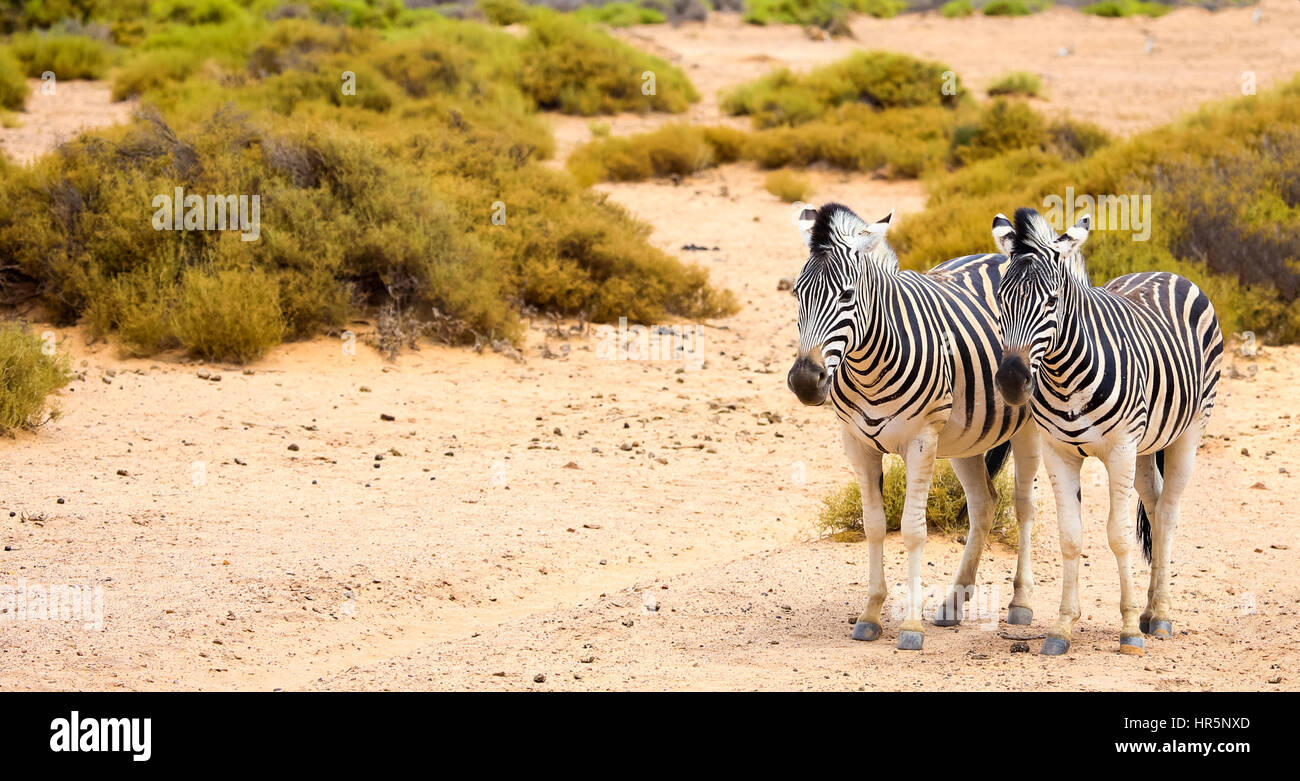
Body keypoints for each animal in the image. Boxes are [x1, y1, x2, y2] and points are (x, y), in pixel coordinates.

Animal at [787, 202, 1041, 651]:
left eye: (847, 295)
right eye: (797, 294)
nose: (804, 381)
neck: (868, 366)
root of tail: (1001, 256)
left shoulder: (922, 440)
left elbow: (911, 530)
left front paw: (909, 627)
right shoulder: (856, 442)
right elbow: (873, 526)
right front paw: (870, 614)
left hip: (1025, 426)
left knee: (1024, 505)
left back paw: (1020, 603)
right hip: (967, 437)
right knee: (984, 503)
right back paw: (954, 603)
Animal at [991, 208, 1223, 656]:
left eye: (1051, 300)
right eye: (1001, 299)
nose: (1011, 381)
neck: (1065, 377)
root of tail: (1165, 271)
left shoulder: (1119, 449)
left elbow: (1118, 535)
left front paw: (1130, 630)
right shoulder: (1058, 451)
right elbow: (1070, 537)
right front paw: (1062, 627)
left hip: (1189, 430)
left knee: (1168, 513)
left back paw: (1160, 617)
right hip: (1147, 445)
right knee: (1154, 505)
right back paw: (1151, 610)